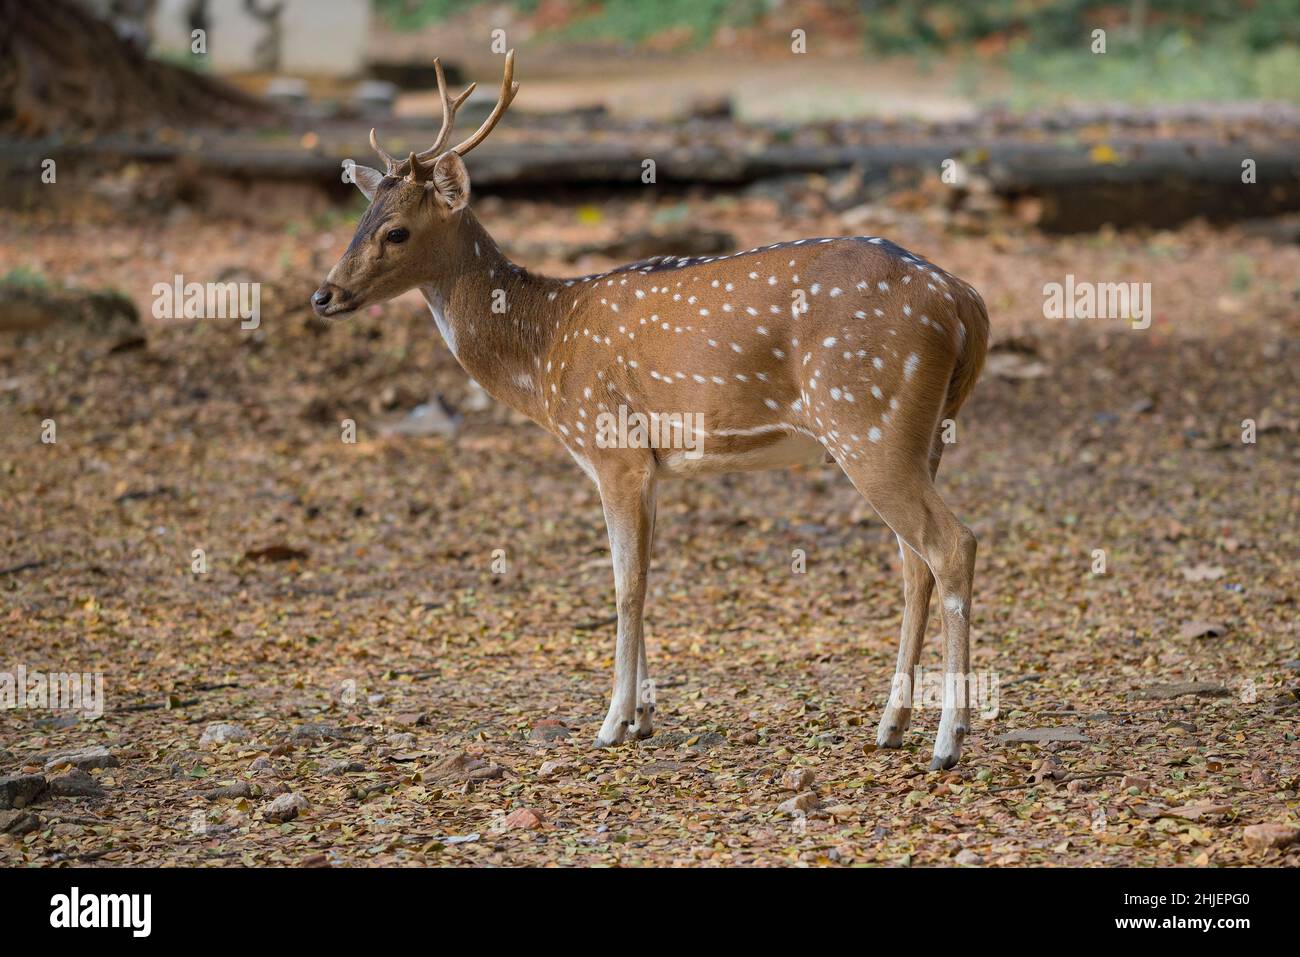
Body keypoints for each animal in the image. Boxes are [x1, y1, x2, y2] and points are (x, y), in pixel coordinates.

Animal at [311, 52, 991, 770]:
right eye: (357, 223)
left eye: (396, 231)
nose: (323, 295)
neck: (543, 351)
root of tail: (965, 301)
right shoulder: (653, 465)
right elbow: (644, 575)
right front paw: (644, 715)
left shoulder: (612, 446)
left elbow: (625, 585)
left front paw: (612, 721)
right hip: (920, 434)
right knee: (914, 563)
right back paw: (891, 724)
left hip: (866, 419)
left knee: (953, 545)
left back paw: (949, 739)